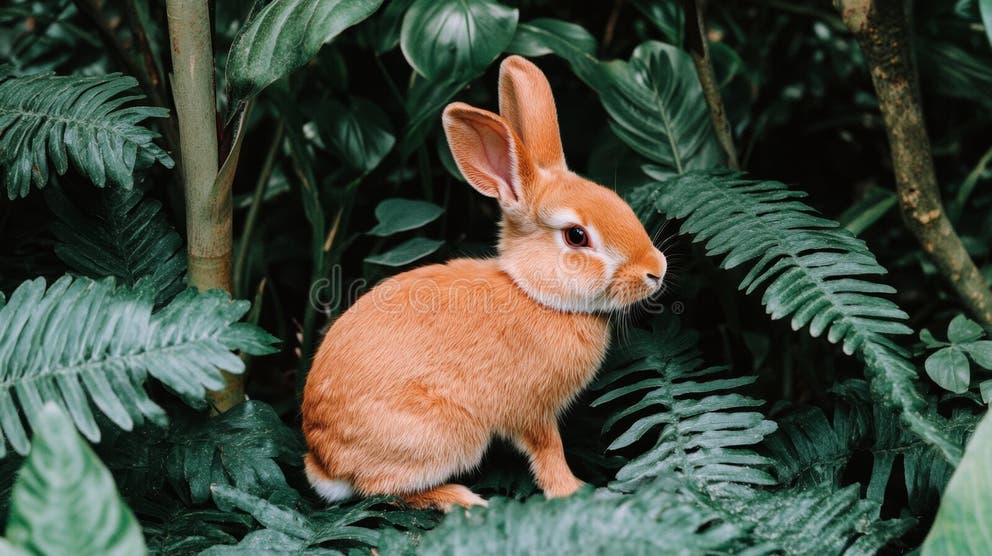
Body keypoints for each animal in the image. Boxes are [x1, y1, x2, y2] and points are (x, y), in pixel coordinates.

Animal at [302, 55, 667, 512]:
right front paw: (574, 491)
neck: (535, 294)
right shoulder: (532, 411)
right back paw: (464, 499)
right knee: (381, 488)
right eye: (576, 236)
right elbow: (548, 451)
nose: (657, 270)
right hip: (449, 433)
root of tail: (323, 461)